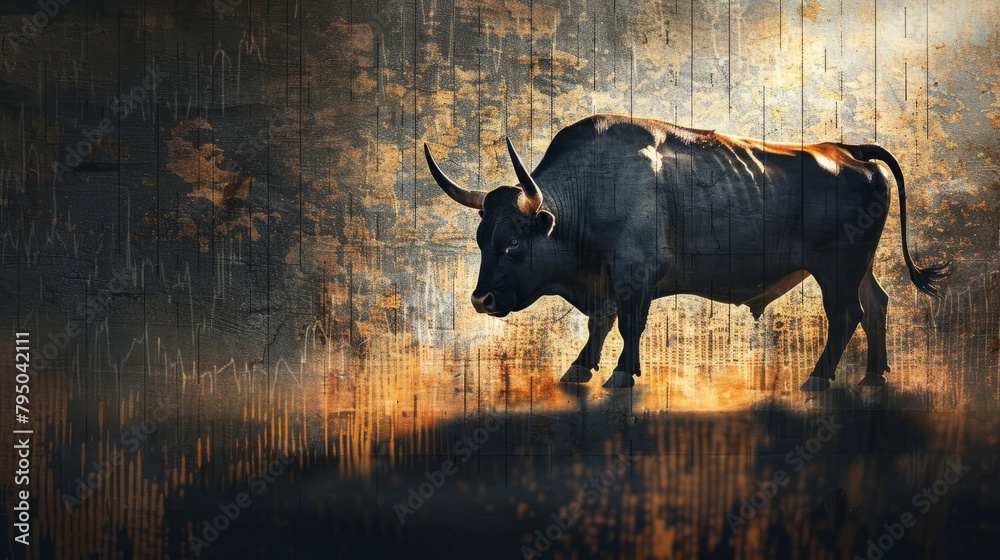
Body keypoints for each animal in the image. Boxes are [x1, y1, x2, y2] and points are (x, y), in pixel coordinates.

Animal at [425, 115, 950, 390]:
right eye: (481, 240)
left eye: (512, 244)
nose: (480, 300)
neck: (592, 187)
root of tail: (846, 149)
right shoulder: (607, 280)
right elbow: (600, 323)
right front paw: (579, 369)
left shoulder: (636, 273)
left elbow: (628, 325)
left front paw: (622, 374)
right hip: (859, 267)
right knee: (877, 304)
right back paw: (873, 376)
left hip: (836, 270)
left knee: (846, 316)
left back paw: (818, 380)